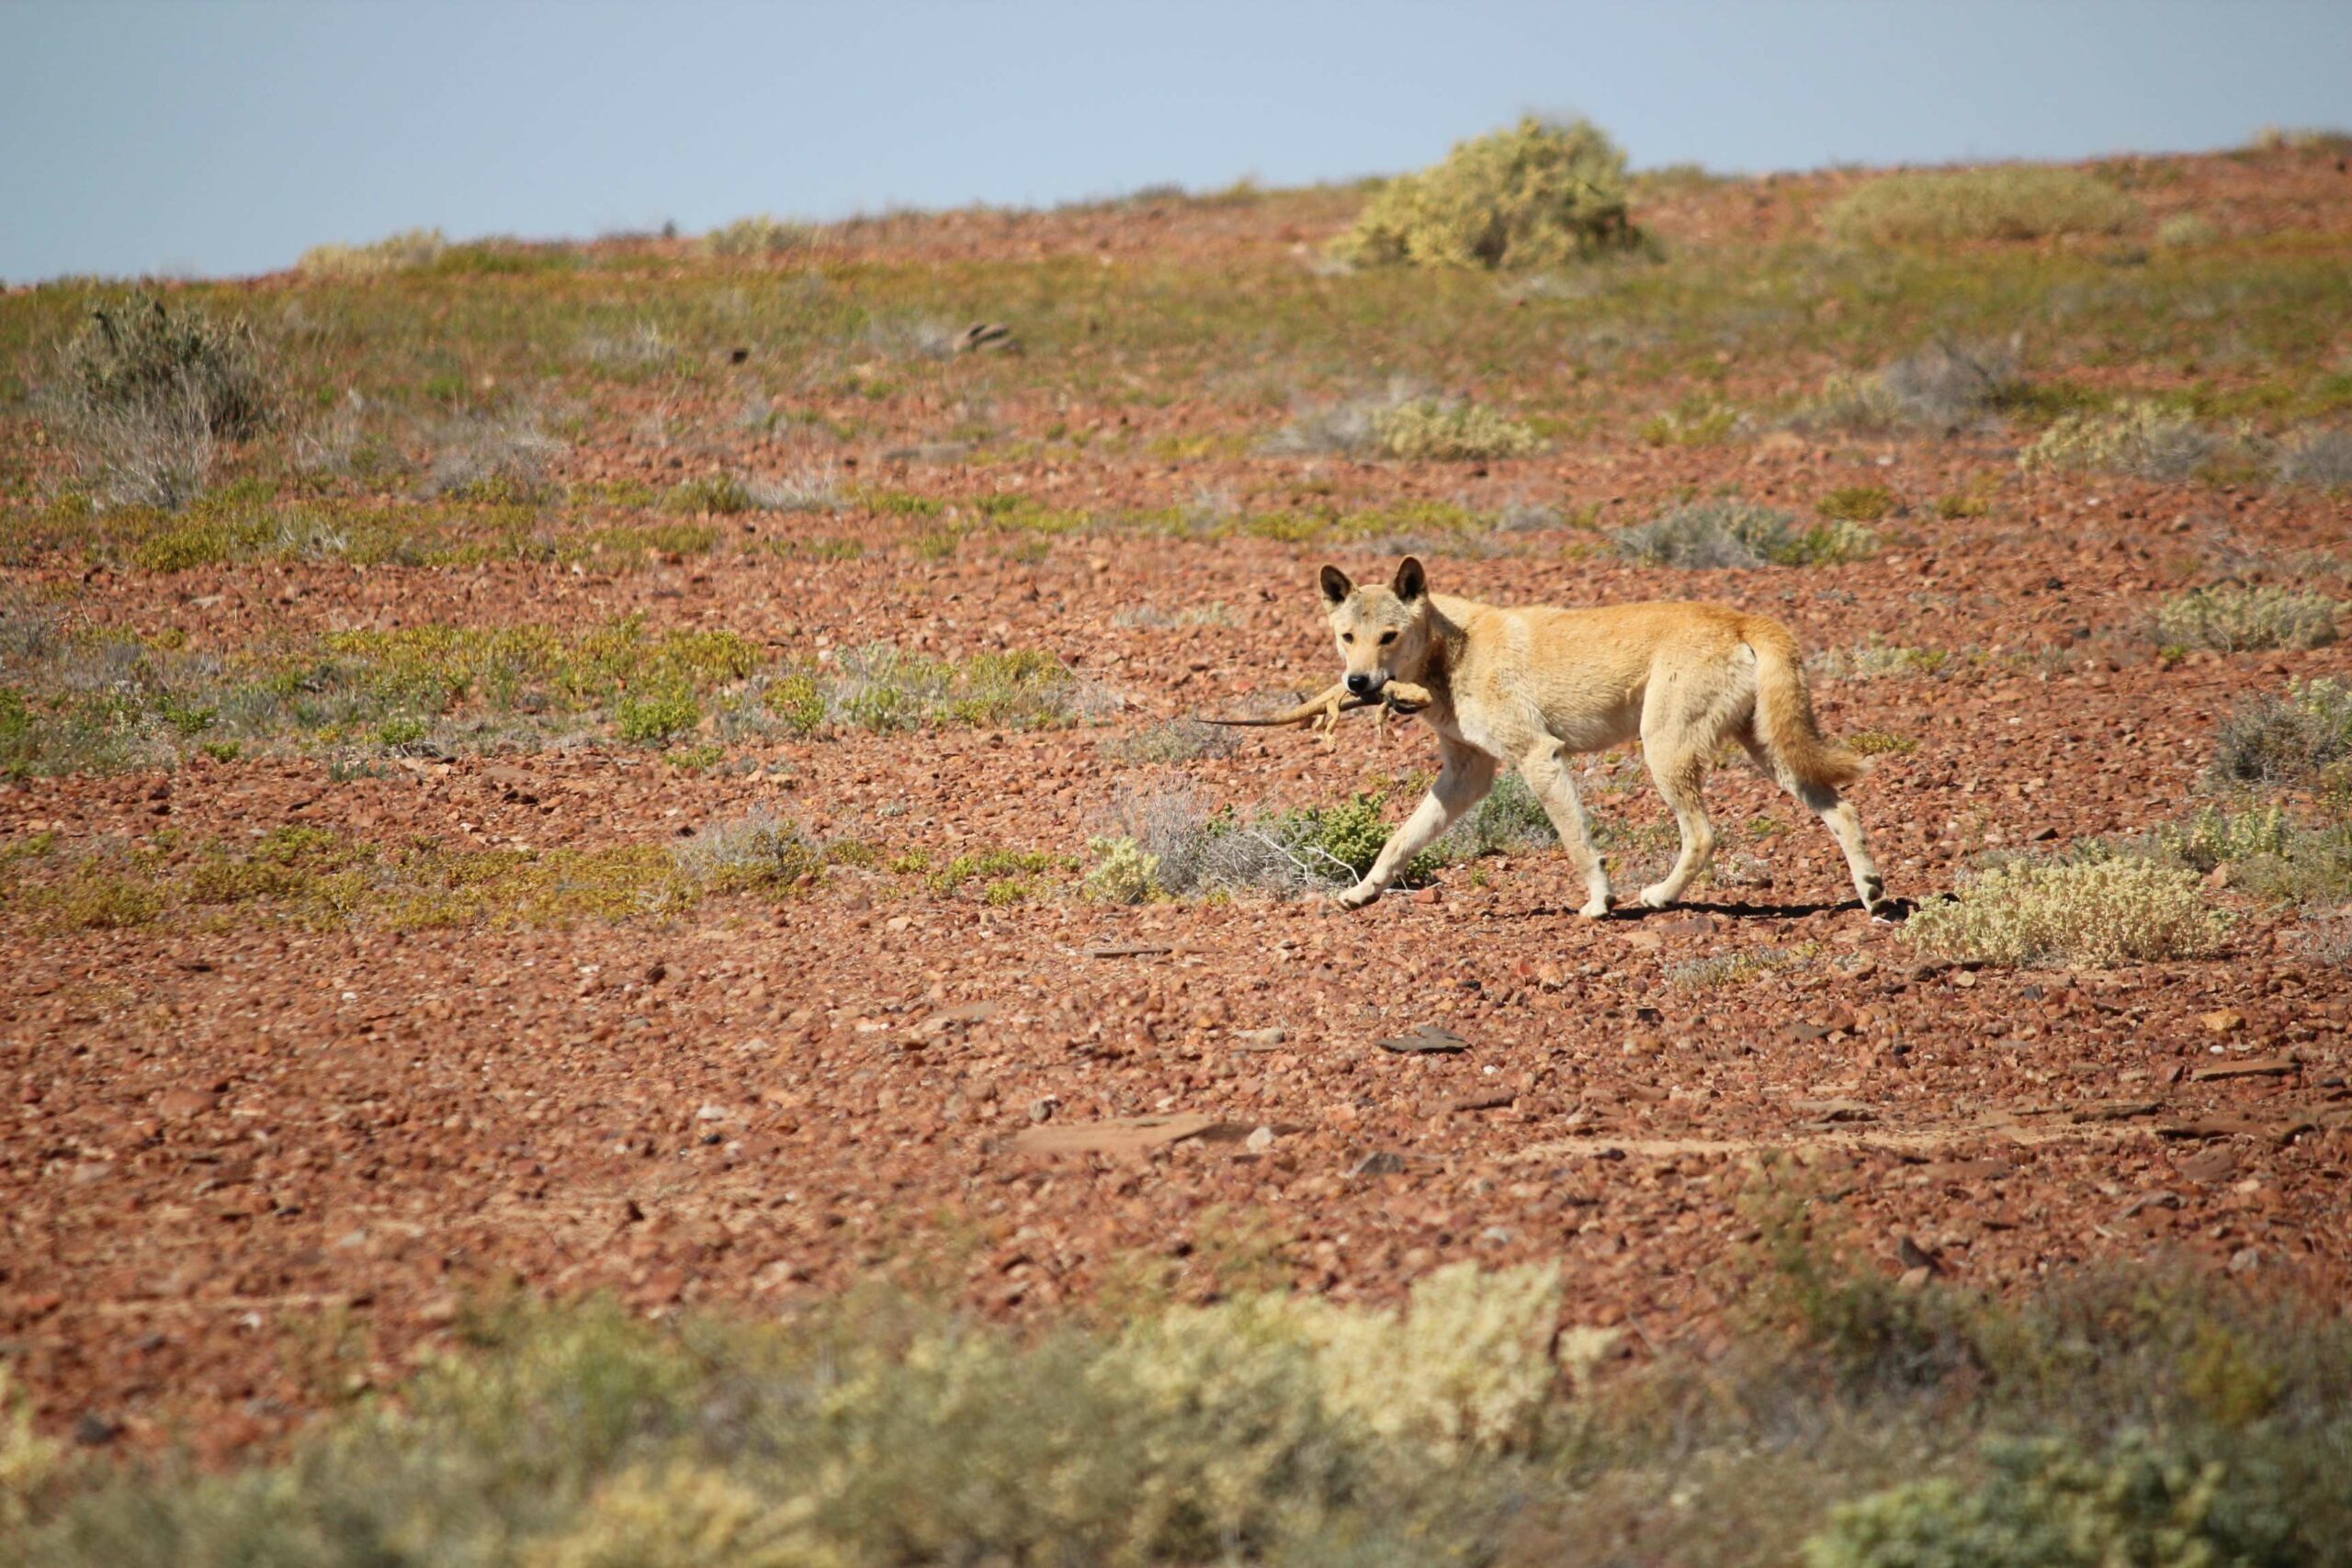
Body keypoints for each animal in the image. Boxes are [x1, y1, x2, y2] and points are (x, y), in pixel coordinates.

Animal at [1301, 556, 1889, 919]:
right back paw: (1874, 897)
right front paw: (1362, 892)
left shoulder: (1538, 756)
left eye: (1389, 636)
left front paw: (1601, 902)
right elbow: (1400, 839)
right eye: (1347, 637)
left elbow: (1576, 841)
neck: (1454, 651)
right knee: (1843, 810)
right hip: (1770, 754)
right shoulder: (1467, 775)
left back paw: (1659, 897)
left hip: (1665, 751)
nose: (1358, 682)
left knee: (1702, 836)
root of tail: (1740, 617)